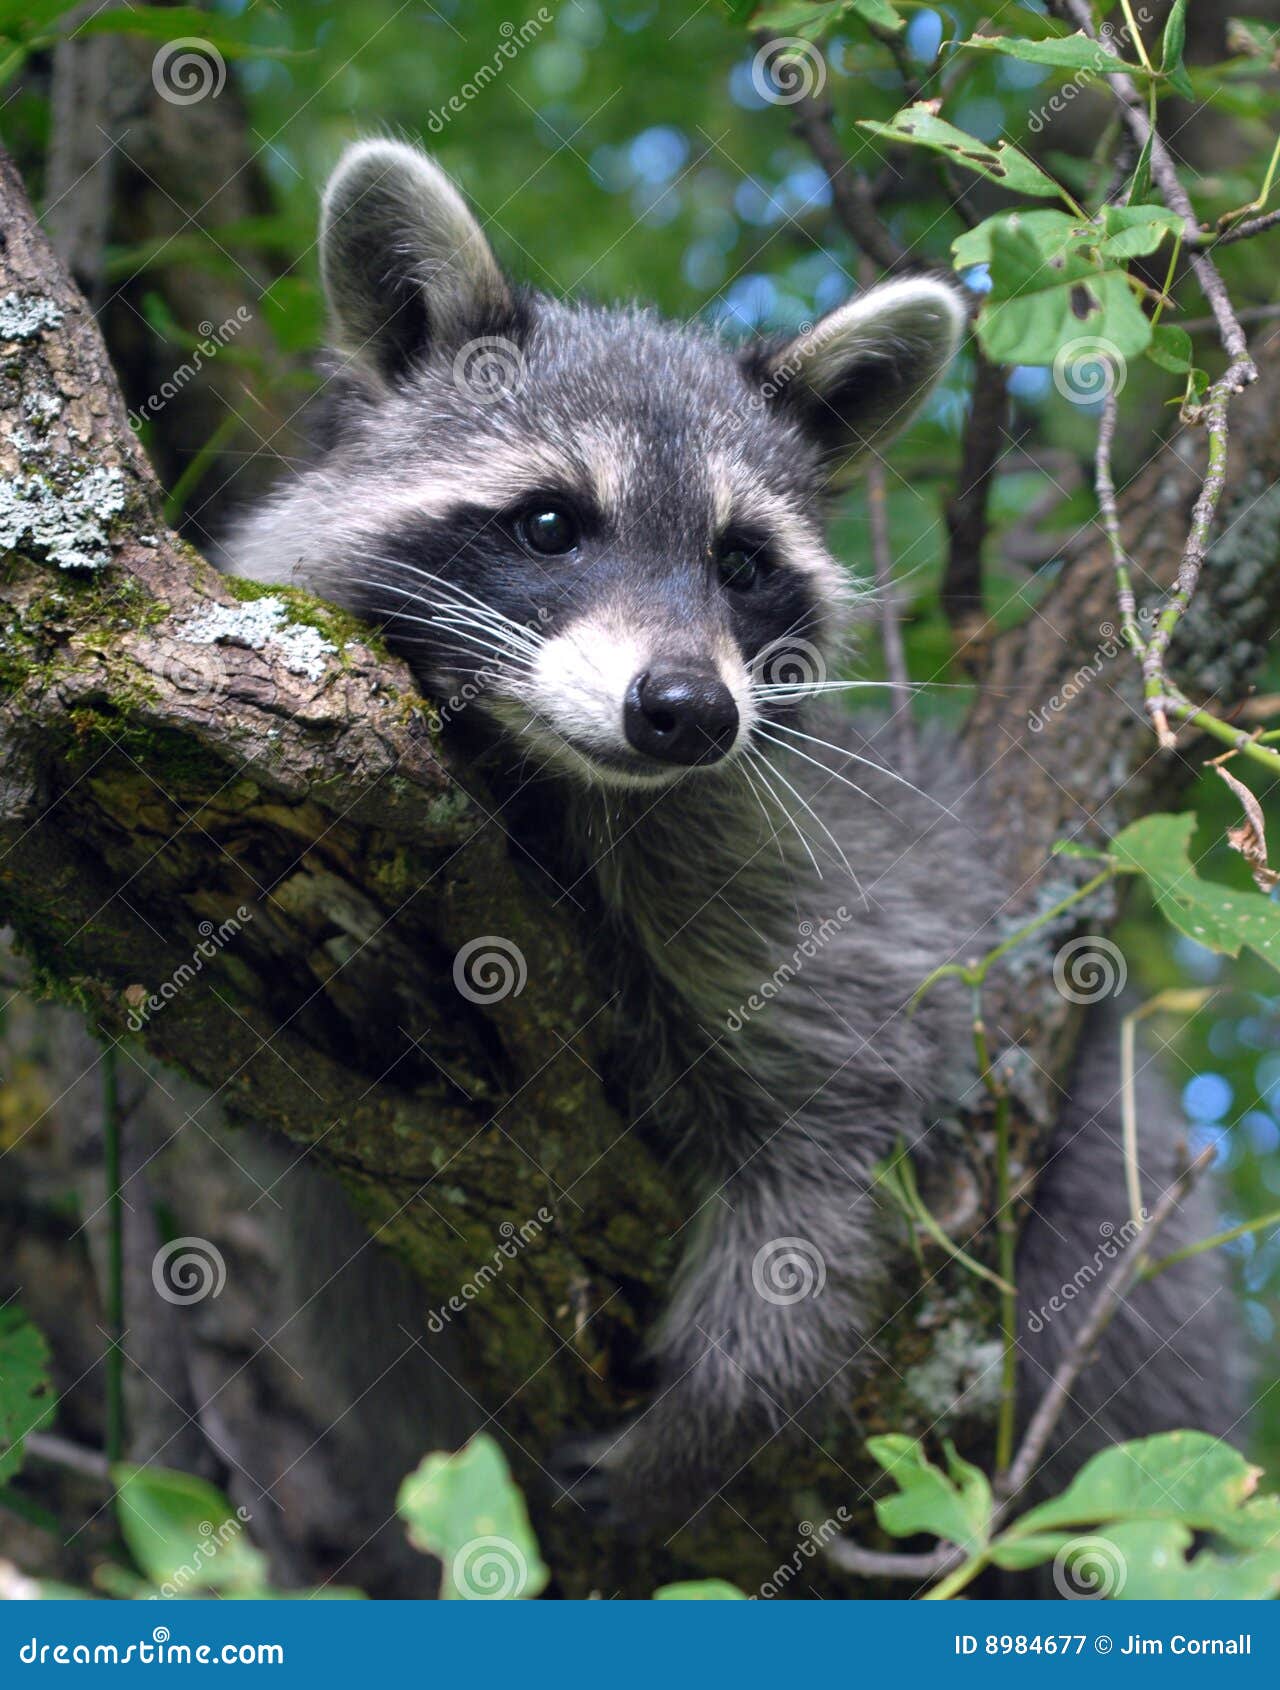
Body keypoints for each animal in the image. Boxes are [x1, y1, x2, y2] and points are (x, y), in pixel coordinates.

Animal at [225, 140, 1238, 1537]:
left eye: (742, 563)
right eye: (550, 524)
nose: (686, 711)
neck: (542, 778)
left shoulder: (796, 886)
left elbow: (838, 1116)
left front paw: (725, 1405)